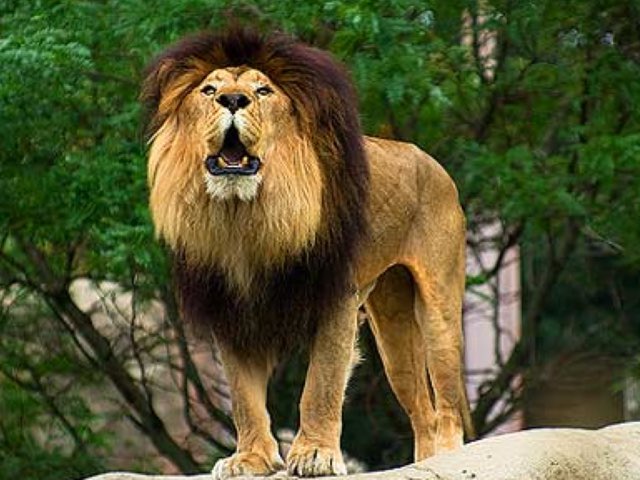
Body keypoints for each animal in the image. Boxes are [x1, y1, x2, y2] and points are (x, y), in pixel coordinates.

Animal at [142, 30, 470, 478]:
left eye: (262, 90)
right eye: (209, 90)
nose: (232, 100)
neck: (244, 215)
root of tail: (430, 160)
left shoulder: (336, 299)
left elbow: (322, 384)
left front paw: (315, 455)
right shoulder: (230, 309)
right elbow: (244, 398)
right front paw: (251, 459)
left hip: (439, 307)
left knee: (447, 398)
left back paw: (451, 458)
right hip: (394, 326)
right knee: (423, 409)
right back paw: (424, 462)